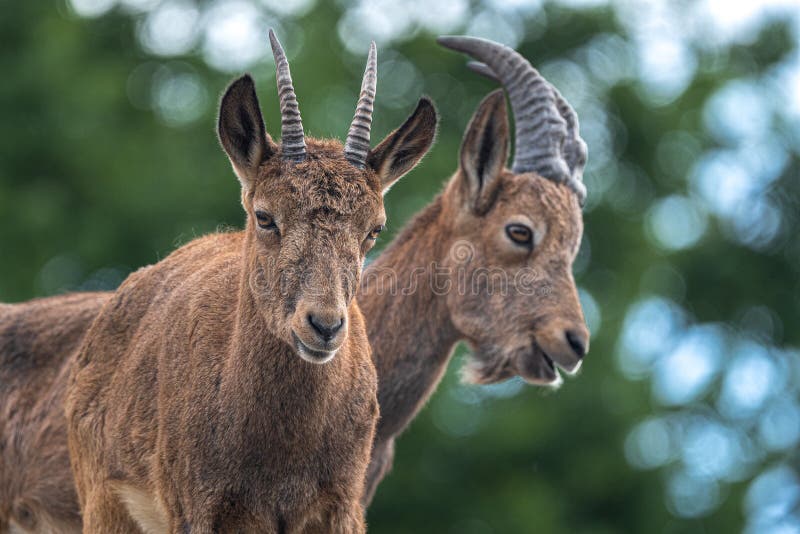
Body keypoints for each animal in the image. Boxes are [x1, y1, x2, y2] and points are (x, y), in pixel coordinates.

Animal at [62, 31, 437, 533]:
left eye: (374, 229)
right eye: (265, 216)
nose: (323, 326)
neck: (283, 453)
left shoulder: (343, 505)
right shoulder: (202, 507)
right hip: (104, 504)